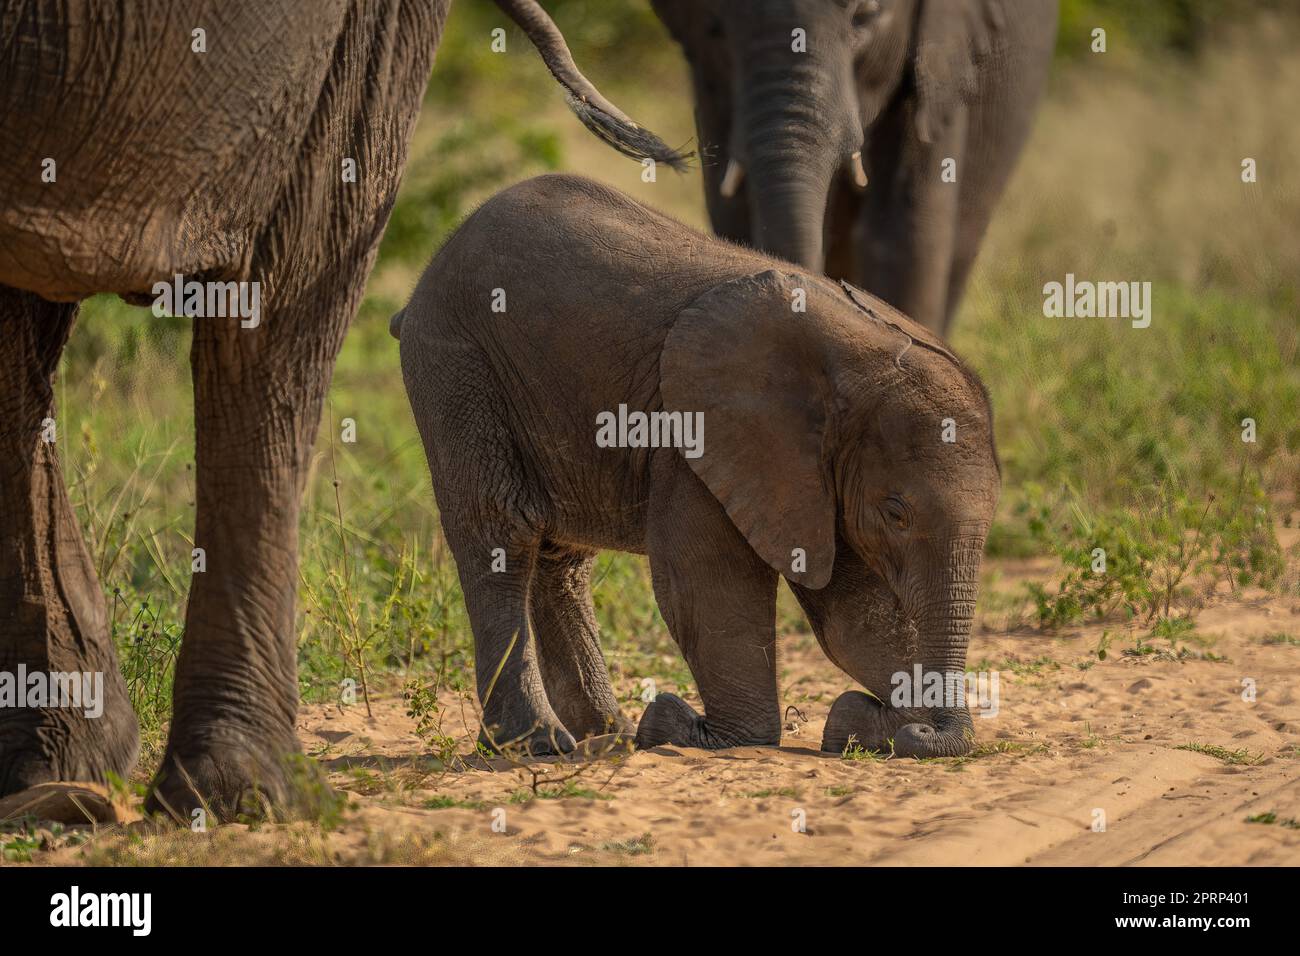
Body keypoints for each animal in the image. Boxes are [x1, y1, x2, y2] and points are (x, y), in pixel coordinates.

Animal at [394, 174, 1000, 759]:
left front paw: (862, 724)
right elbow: (707, 583)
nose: (913, 727)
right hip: (457, 362)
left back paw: (607, 737)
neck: (865, 350)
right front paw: (685, 728)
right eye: (895, 513)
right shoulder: (703, 437)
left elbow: (853, 616)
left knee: (560, 558)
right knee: (502, 531)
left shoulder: (810, 470)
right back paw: (539, 744)